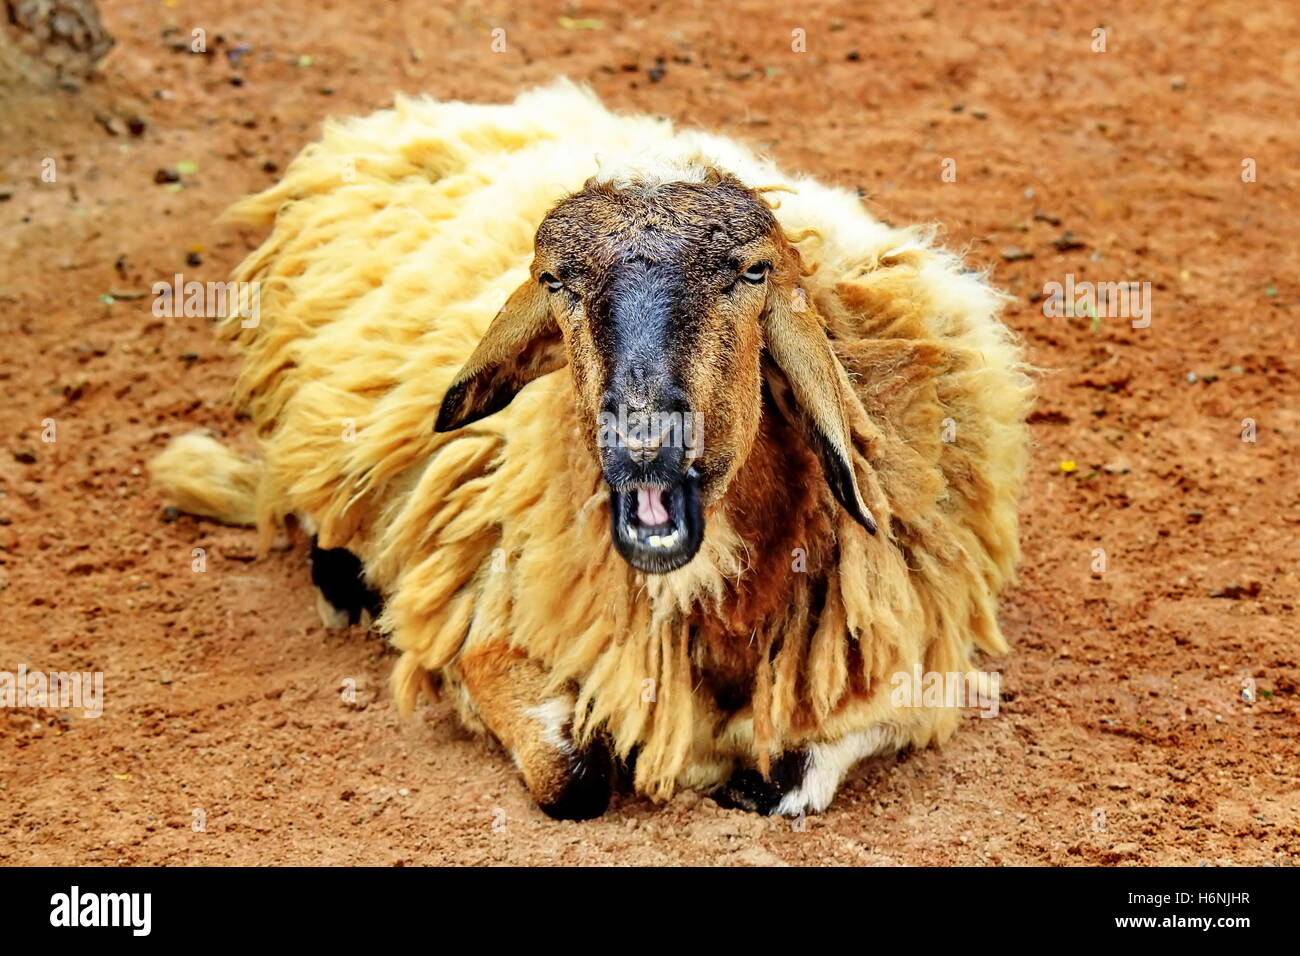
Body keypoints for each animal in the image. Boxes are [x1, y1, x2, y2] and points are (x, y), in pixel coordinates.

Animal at [151, 79, 1033, 820]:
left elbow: (789, 774)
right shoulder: (489, 622)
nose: (642, 440)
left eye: (752, 274)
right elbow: (567, 776)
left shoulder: (914, 664)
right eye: (556, 282)